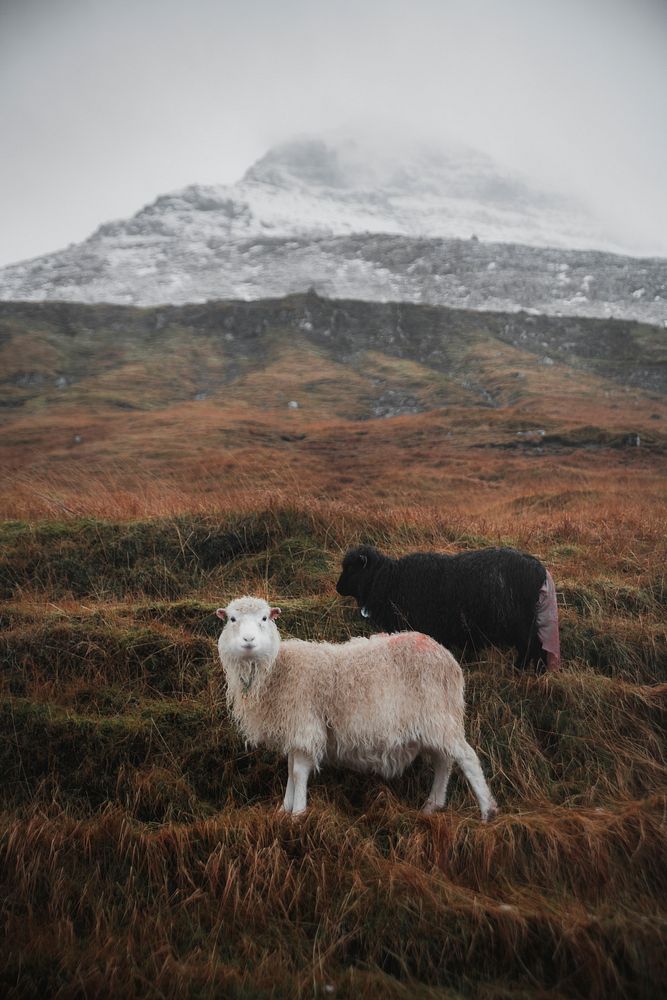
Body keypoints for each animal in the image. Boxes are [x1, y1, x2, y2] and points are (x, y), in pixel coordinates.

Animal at [216, 596, 497, 819]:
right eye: (232, 619)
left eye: (264, 618)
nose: (248, 639)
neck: (276, 670)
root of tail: (446, 656)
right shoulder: (294, 728)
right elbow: (290, 771)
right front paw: (283, 810)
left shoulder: (305, 723)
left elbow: (298, 771)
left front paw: (298, 814)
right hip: (432, 722)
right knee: (444, 760)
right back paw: (433, 805)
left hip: (439, 714)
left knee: (467, 758)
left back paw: (487, 812)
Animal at [336, 545, 561, 672]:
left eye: (352, 568)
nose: (338, 588)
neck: (388, 579)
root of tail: (540, 571)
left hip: (520, 624)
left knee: (530, 648)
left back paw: (519, 672)